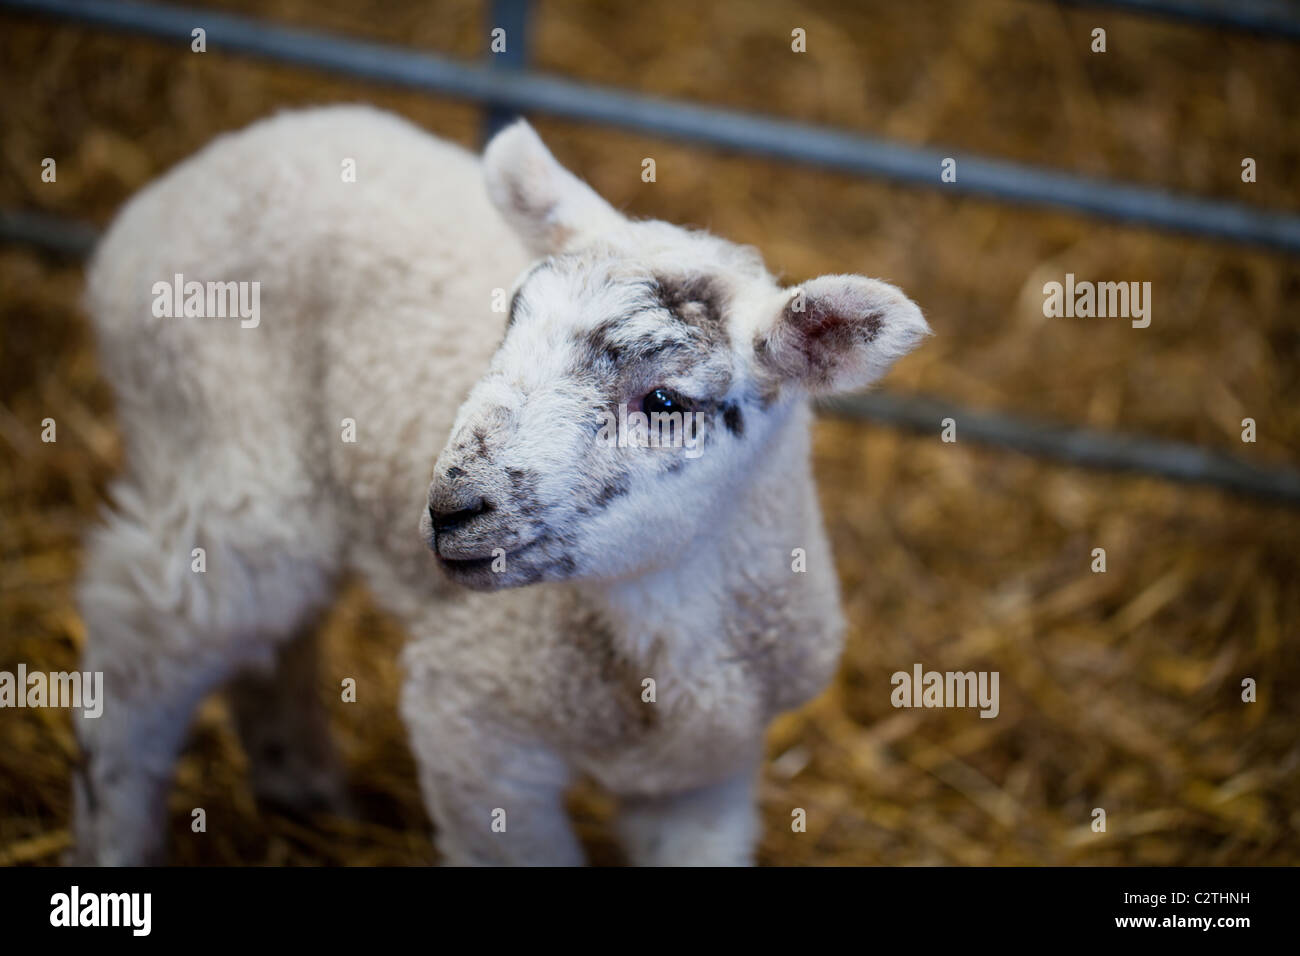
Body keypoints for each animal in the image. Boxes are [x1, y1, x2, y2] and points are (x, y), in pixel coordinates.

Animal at [72, 105, 929, 866]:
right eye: (510, 324)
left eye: (665, 402)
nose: (450, 507)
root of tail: (185, 179)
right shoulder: (473, 724)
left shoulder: (707, 778)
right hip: (219, 447)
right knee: (140, 642)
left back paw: (306, 789)